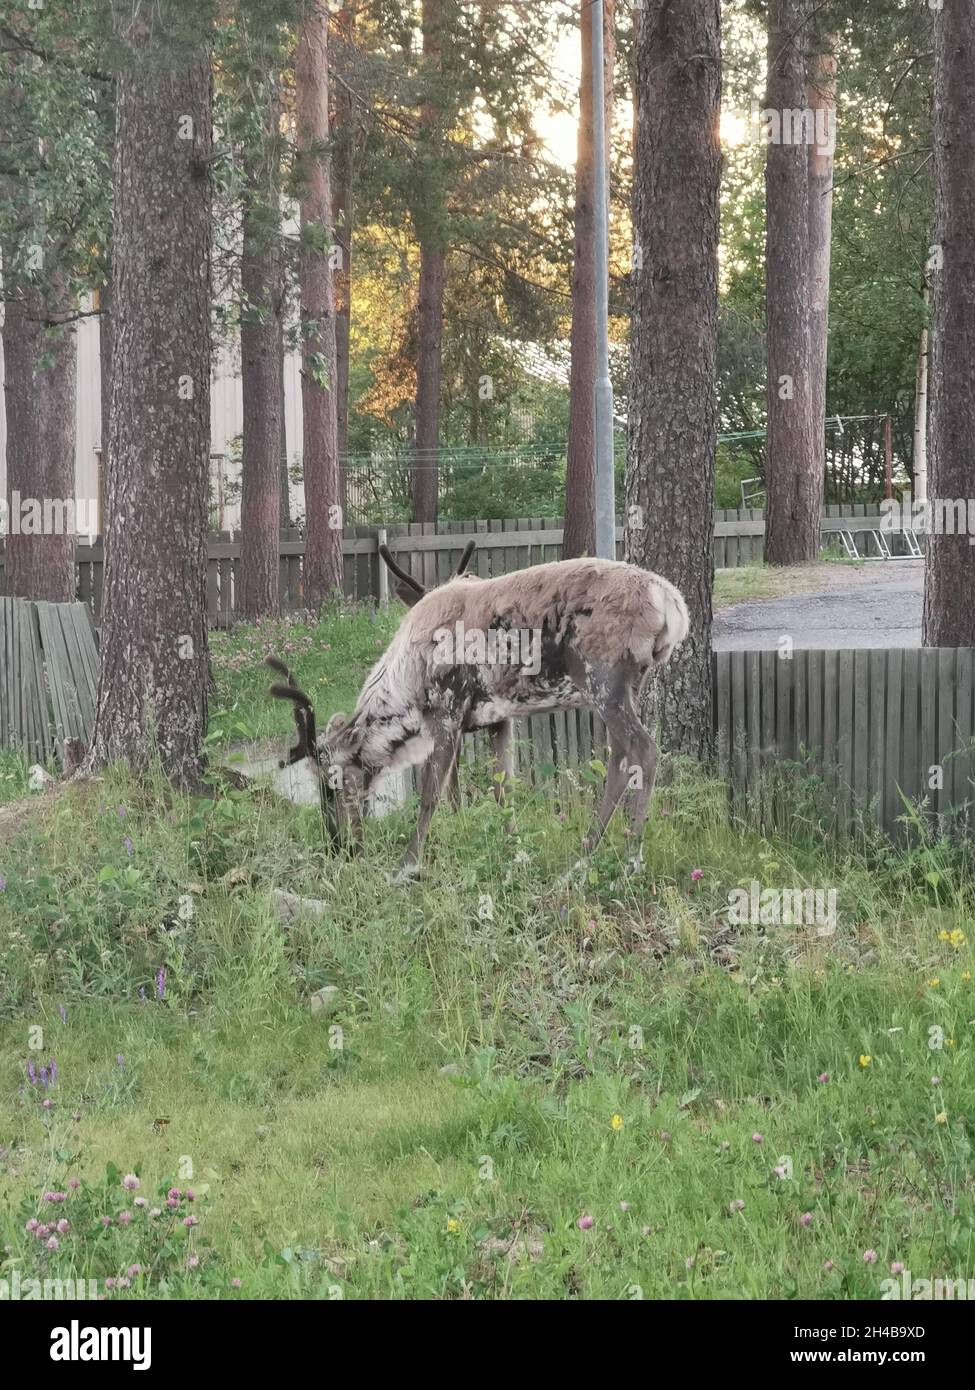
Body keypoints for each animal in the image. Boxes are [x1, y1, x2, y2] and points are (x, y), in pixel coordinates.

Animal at [268, 556, 689, 884]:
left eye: (331, 783)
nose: (338, 845)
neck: (409, 677)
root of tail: (672, 605)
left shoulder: (447, 713)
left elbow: (430, 796)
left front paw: (406, 866)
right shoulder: (498, 719)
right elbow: (503, 791)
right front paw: (515, 852)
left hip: (604, 680)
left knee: (643, 750)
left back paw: (623, 860)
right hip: (628, 687)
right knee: (621, 757)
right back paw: (591, 854)